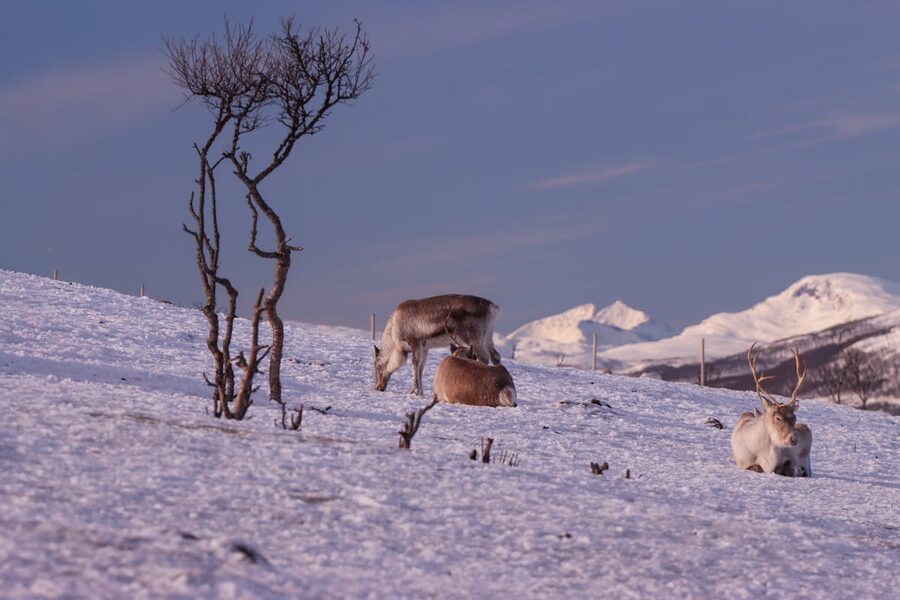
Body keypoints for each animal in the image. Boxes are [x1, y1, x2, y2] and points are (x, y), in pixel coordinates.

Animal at [373, 294, 502, 395]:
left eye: (377, 366)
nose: (377, 387)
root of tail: (494, 308)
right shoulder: (424, 348)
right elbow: (421, 368)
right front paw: (421, 392)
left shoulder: (415, 343)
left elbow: (415, 366)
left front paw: (414, 391)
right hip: (488, 338)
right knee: (495, 356)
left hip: (472, 338)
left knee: (483, 357)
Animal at [731, 343, 813, 477]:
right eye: (778, 418)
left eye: (794, 418)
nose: (794, 439)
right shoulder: (744, 462)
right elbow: (756, 467)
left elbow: (788, 468)